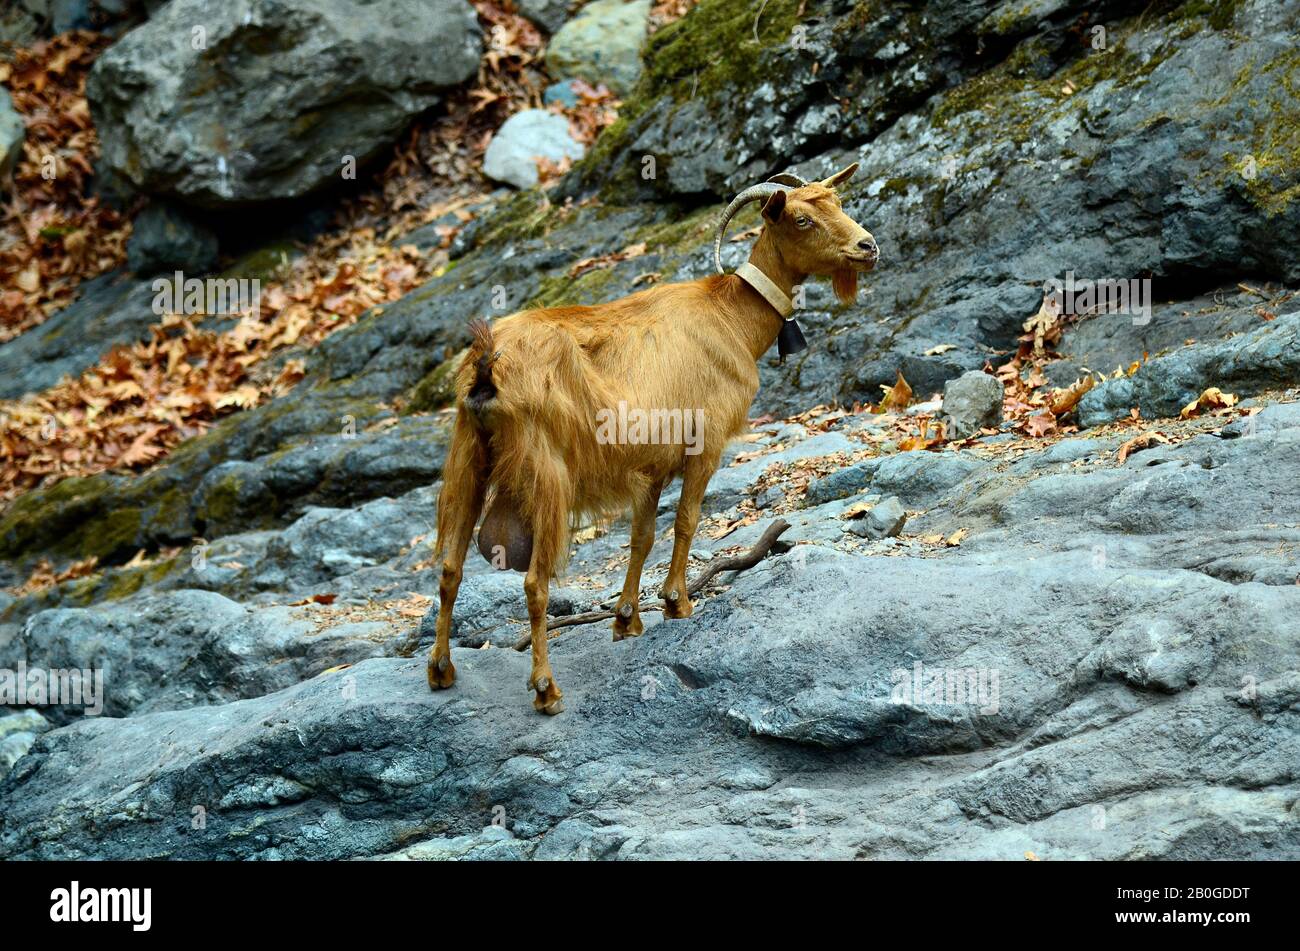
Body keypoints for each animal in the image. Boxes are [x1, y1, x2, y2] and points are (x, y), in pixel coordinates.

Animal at [428, 162, 878, 713]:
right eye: (801, 219)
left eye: (837, 202)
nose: (867, 246)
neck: (731, 317)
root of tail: (488, 363)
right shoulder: (704, 442)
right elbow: (686, 521)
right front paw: (677, 603)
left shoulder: (650, 464)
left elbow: (642, 536)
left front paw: (627, 620)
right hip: (546, 471)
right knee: (535, 581)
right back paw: (546, 689)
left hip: (468, 456)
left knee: (450, 569)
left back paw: (441, 671)